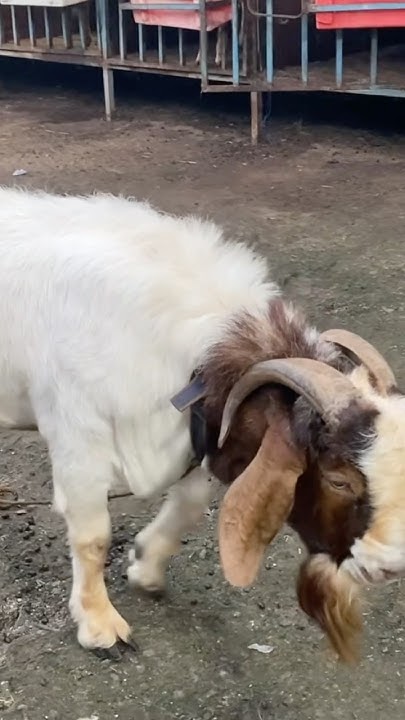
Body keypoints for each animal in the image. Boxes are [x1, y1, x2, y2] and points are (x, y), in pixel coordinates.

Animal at [0, 187, 404, 663]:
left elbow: (191, 502)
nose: (388, 566)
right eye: (338, 479)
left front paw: (146, 567)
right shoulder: (78, 437)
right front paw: (100, 625)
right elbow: (93, 536)